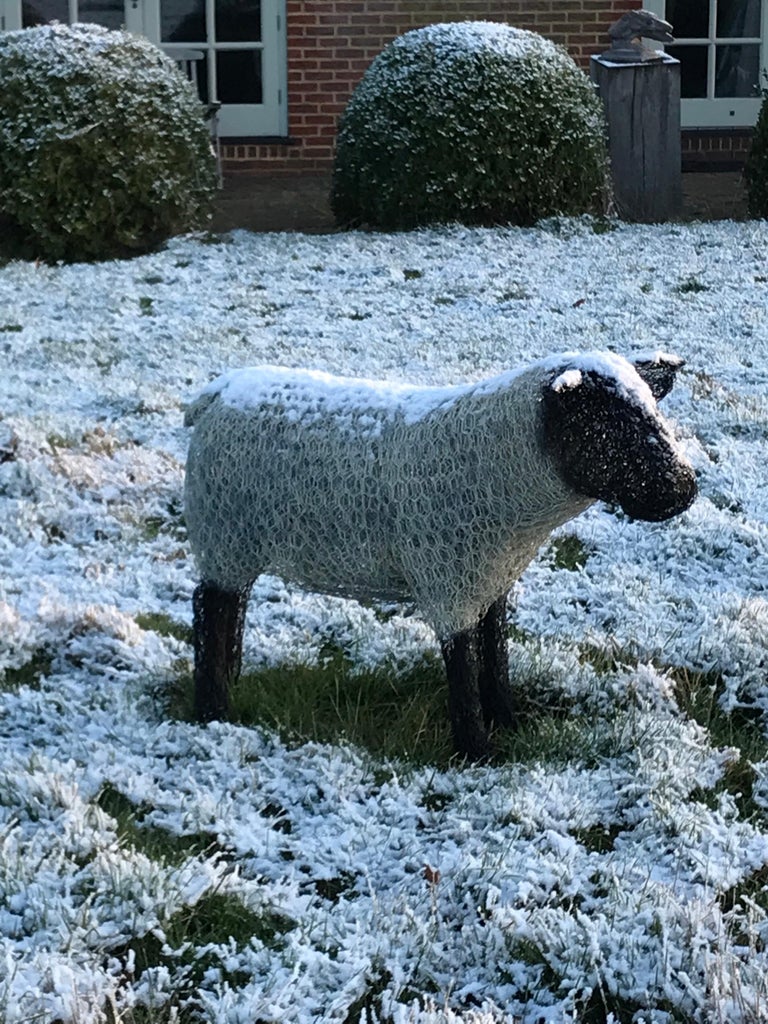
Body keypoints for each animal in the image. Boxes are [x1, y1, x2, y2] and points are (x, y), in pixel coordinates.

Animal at [184, 350, 696, 760]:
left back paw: (232, 679)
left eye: (652, 409)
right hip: (221, 537)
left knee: (232, 607)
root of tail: (216, 392)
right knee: (210, 607)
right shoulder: (447, 582)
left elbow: (495, 653)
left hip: (234, 544)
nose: (684, 489)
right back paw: (214, 710)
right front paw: (478, 751)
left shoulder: (489, 581)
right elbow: (463, 666)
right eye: (607, 422)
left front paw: (508, 721)